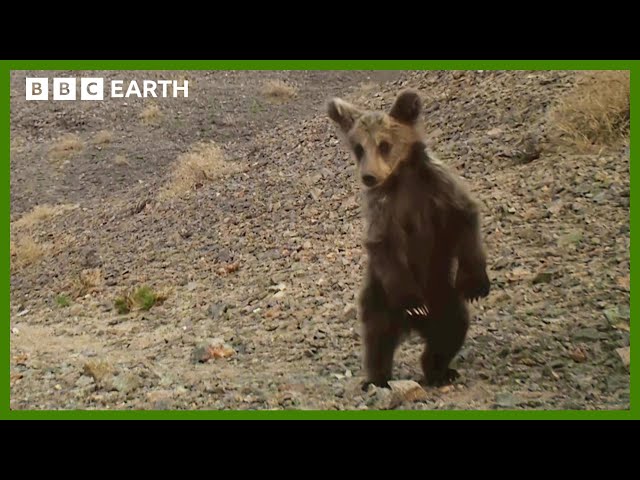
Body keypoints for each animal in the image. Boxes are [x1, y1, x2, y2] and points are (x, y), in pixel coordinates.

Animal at [326, 89, 491, 390]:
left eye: (384, 144)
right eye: (358, 148)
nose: (369, 176)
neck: (402, 176)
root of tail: (413, 328)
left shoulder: (438, 187)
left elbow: (465, 217)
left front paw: (475, 283)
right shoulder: (385, 210)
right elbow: (384, 245)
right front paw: (414, 303)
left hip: (443, 295)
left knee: (451, 330)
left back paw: (439, 372)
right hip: (380, 297)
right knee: (377, 339)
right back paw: (377, 378)